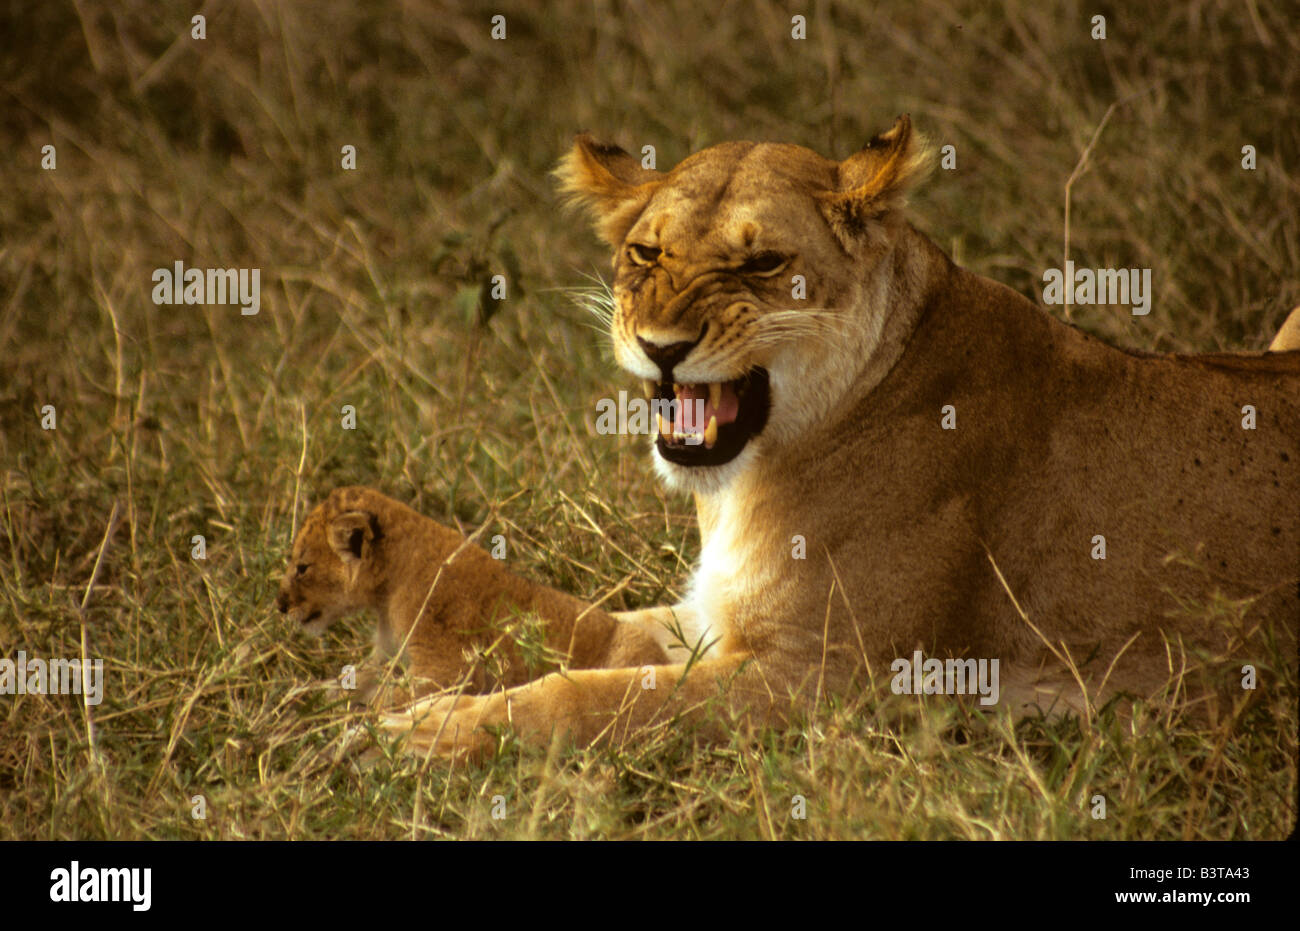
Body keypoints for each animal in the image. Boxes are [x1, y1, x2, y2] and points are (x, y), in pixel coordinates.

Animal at [276, 486, 667, 705]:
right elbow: (351, 679)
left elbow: (387, 697)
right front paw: (302, 697)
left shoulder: (452, 670)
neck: (387, 591)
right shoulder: (387, 653)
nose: (279, 605)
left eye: (302, 567)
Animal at [383, 116, 1299, 760]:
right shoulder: (715, 618)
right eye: (646, 252)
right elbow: (578, 633)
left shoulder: (823, 685)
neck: (757, 471)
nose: (661, 344)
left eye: (762, 265)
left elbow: (599, 697)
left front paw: (424, 734)